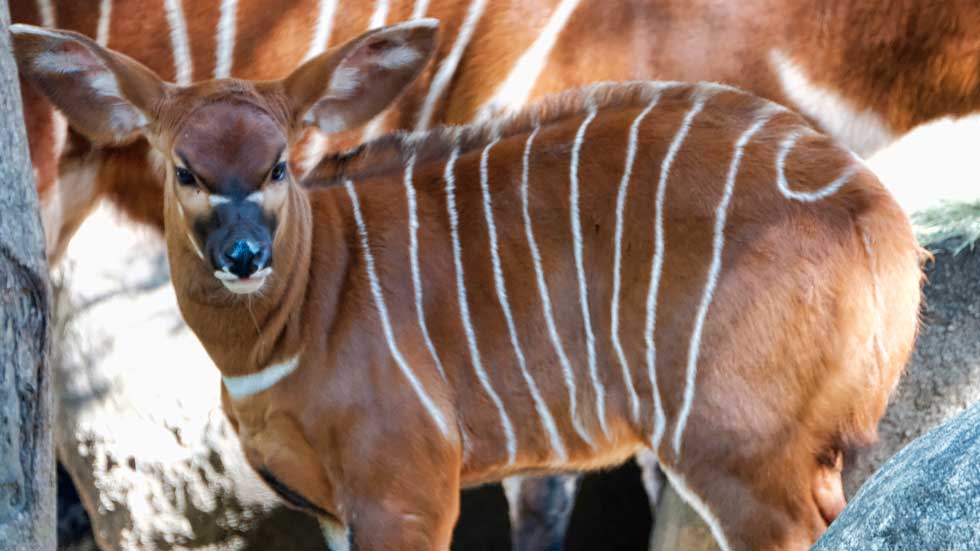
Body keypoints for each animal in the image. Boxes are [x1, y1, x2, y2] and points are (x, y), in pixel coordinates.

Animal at [11, 18, 924, 551]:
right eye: (186, 169)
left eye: (277, 165)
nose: (243, 254)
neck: (302, 314)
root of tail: (879, 221)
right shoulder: (333, 509)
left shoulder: (405, 487)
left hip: (742, 454)